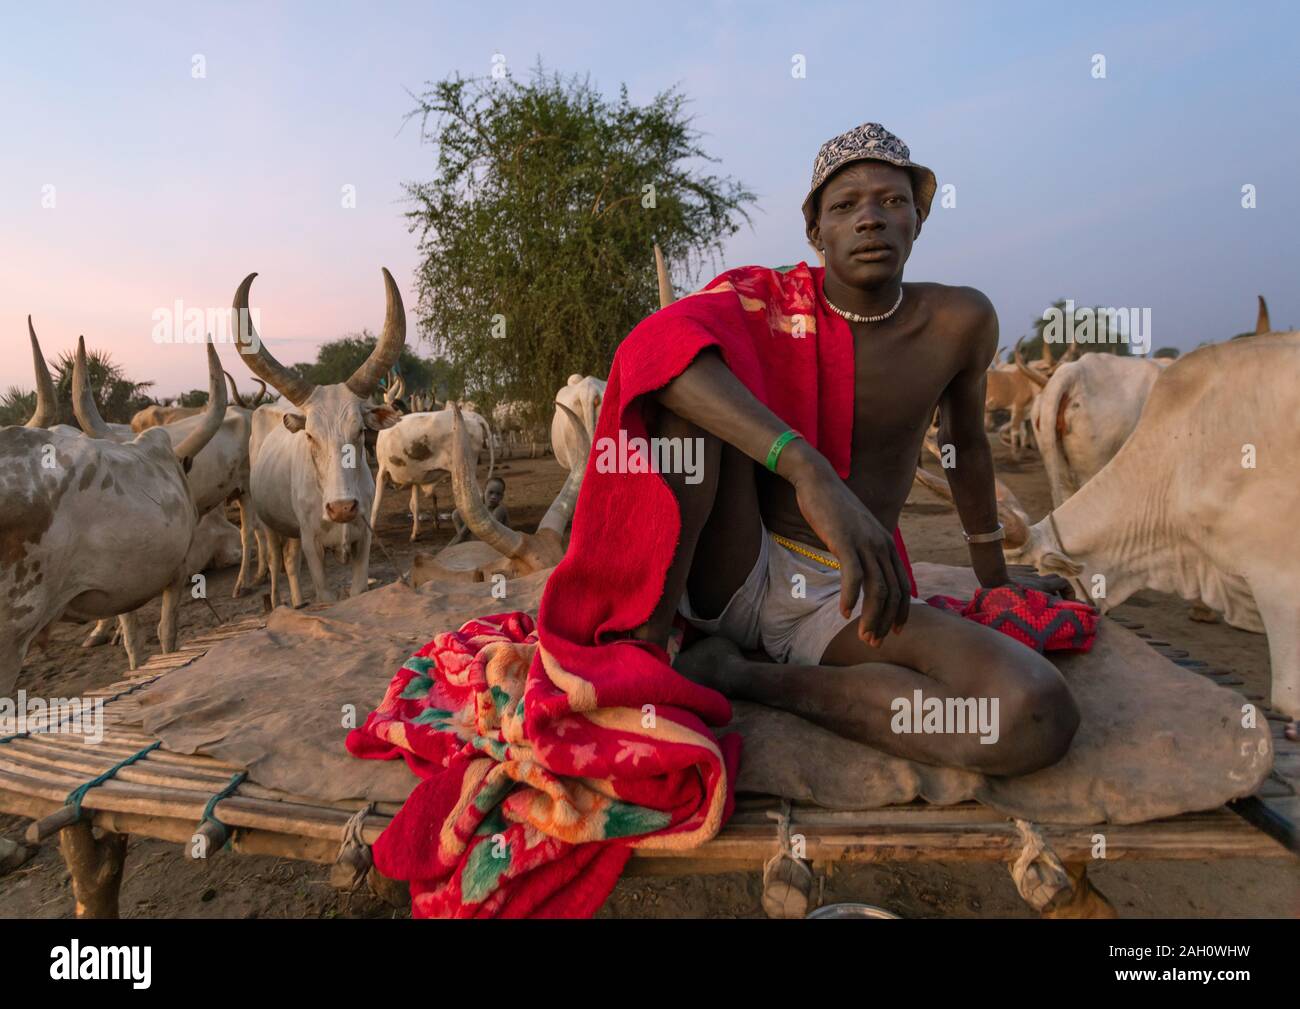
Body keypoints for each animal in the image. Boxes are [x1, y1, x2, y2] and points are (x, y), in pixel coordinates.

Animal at [232, 268, 404, 607]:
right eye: (310, 436)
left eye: (360, 430)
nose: (341, 508)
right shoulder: (312, 543)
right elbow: (325, 594)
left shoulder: (363, 537)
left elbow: (358, 589)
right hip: (269, 522)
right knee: (276, 561)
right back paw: (279, 602)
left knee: (289, 561)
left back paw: (299, 601)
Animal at [370, 405, 495, 541]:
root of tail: (474, 416)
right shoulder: (415, 477)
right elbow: (414, 505)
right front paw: (416, 533)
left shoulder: (382, 472)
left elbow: (376, 505)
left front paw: (371, 530)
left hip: (467, 469)